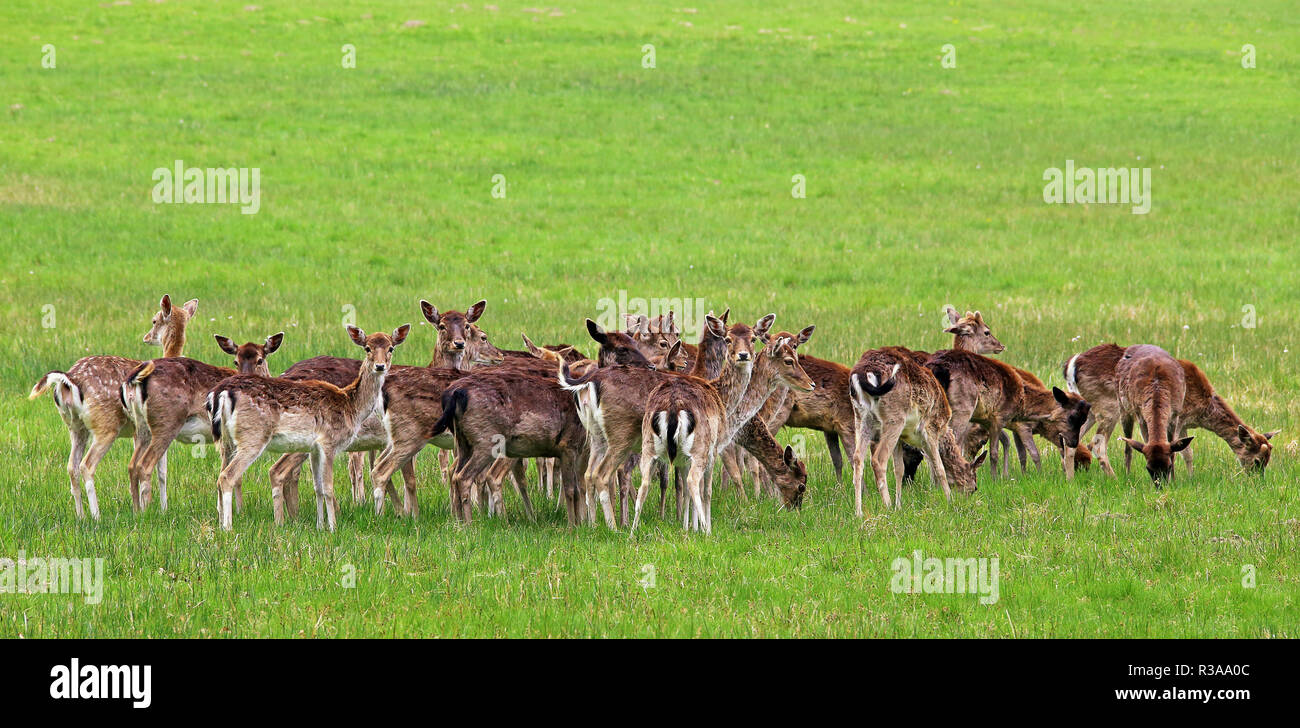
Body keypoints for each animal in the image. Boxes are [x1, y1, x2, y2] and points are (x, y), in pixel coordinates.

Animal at [29, 294, 197, 520]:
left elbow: (155, 469)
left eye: (154, 320)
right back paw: (97, 516)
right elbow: (161, 470)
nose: (146, 337)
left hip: (75, 426)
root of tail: (70, 380)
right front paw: (158, 509)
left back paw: (81, 516)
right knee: (86, 465)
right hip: (105, 424)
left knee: (72, 467)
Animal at [120, 332, 284, 514]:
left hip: (141, 426)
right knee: (144, 465)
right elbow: (236, 475)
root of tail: (134, 380)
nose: (245, 377)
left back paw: (136, 511)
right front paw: (238, 510)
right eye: (236, 361)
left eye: (260, 360)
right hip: (167, 422)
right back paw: (148, 510)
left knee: (132, 465)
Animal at [207, 324, 409, 531]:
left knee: (222, 475)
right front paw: (333, 527)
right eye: (367, 348)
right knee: (229, 476)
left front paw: (320, 526)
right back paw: (229, 527)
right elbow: (328, 487)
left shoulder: (314, 449)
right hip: (253, 437)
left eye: (391, 348)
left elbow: (318, 488)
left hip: (226, 440)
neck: (351, 405)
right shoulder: (329, 442)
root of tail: (220, 394)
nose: (380, 366)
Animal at [631, 333, 815, 534]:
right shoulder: (716, 447)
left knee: (645, 484)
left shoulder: (686, 455)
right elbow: (710, 486)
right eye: (789, 360)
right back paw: (706, 531)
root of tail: (672, 407)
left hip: (649, 447)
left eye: (796, 353)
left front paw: (687, 527)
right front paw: (701, 526)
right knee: (691, 481)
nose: (811, 384)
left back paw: (633, 532)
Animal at [849, 347, 985, 515]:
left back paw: (859, 512)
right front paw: (950, 501)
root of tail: (862, 373)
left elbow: (899, 469)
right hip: (894, 418)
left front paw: (899, 505)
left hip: (861, 417)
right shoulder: (931, 428)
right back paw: (887, 507)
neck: (944, 428)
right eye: (974, 486)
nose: (968, 496)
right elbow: (939, 468)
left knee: (857, 458)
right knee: (878, 460)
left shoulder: (901, 438)